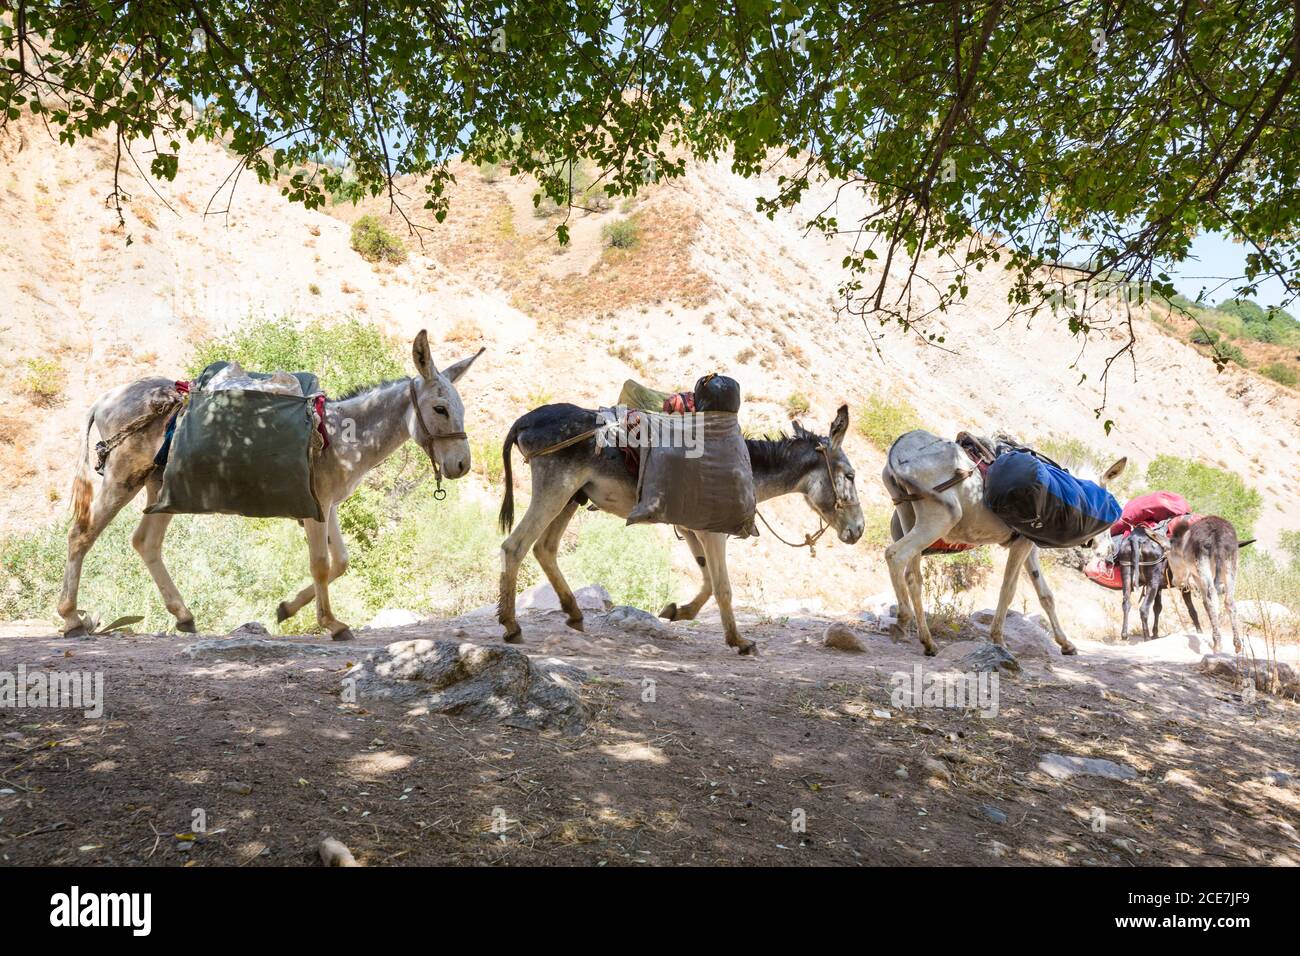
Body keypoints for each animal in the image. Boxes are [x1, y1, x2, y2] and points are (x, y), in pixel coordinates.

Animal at [58, 331, 480, 641]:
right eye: (440, 409)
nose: (461, 465)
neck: (344, 434)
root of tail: (106, 397)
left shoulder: (328, 506)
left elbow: (341, 562)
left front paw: (287, 609)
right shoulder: (316, 508)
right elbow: (322, 564)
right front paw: (332, 624)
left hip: (162, 488)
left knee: (145, 542)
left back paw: (184, 616)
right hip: (123, 477)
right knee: (82, 534)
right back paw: (72, 619)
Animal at [496, 404, 864, 655]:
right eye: (850, 475)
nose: (859, 529)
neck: (745, 468)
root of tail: (525, 420)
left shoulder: (691, 528)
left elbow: (707, 580)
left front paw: (679, 611)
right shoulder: (713, 531)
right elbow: (723, 587)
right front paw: (739, 641)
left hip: (572, 496)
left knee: (545, 548)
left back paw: (573, 613)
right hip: (556, 488)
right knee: (516, 546)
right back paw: (512, 627)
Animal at [882, 430, 1126, 656]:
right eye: (1108, 514)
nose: (1110, 550)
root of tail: (899, 450)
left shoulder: (1028, 545)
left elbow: (1045, 595)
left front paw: (1066, 644)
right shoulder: (1021, 545)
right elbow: (1008, 590)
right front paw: (998, 639)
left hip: (909, 516)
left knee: (913, 576)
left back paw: (927, 641)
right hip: (939, 520)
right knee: (894, 554)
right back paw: (903, 619)